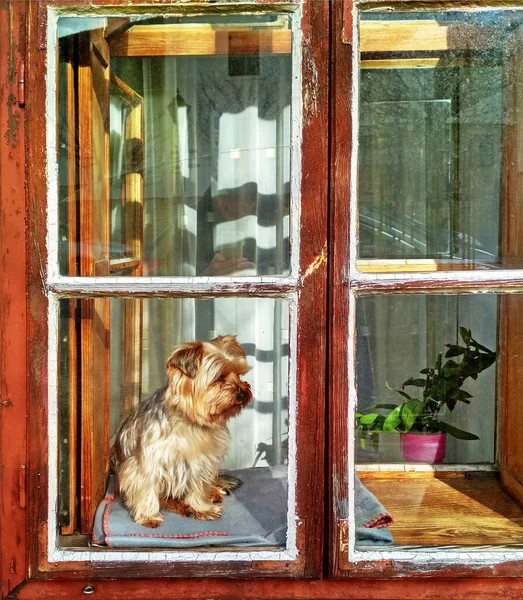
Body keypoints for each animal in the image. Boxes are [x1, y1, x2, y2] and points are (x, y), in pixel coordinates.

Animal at [113, 336, 253, 528]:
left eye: (239, 375)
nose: (243, 393)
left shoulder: (202, 461)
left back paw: (212, 493)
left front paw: (203, 509)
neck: (191, 422)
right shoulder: (147, 463)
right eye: (219, 378)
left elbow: (199, 486)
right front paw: (148, 515)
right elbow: (147, 487)